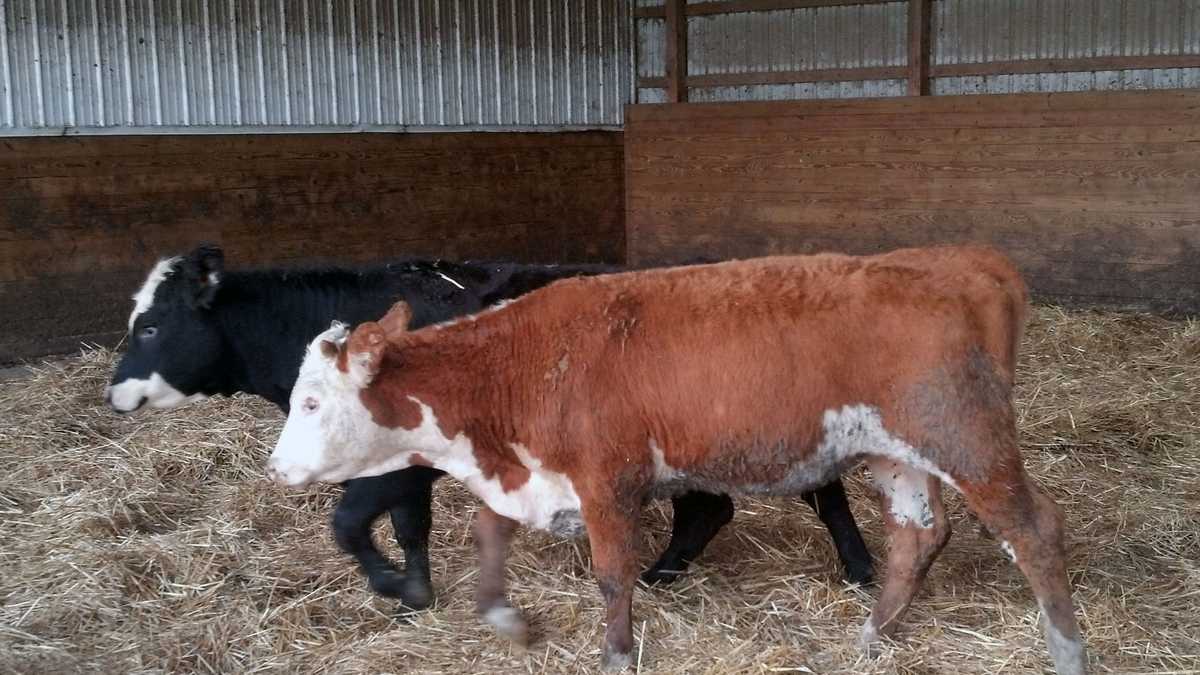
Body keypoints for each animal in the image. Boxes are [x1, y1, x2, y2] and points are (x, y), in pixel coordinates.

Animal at [106, 245, 875, 611]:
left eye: (152, 325)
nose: (114, 393)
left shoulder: (393, 464)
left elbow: (348, 524)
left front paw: (394, 589)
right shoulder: (408, 468)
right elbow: (407, 526)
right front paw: (415, 592)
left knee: (812, 493)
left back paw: (861, 570)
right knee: (713, 508)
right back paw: (662, 574)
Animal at [266, 246, 1086, 674]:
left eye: (309, 403)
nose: (276, 468)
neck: (519, 364)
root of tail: (956, 261)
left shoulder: (606, 481)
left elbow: (612, 575)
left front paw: (616, 654)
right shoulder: (531, 476)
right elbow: (490, 535)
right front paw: (506, 619)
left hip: (969, 442)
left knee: (1038, 530)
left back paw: (1067, 648)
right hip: (896, 455)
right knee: (918, 536)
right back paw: (870, 637)